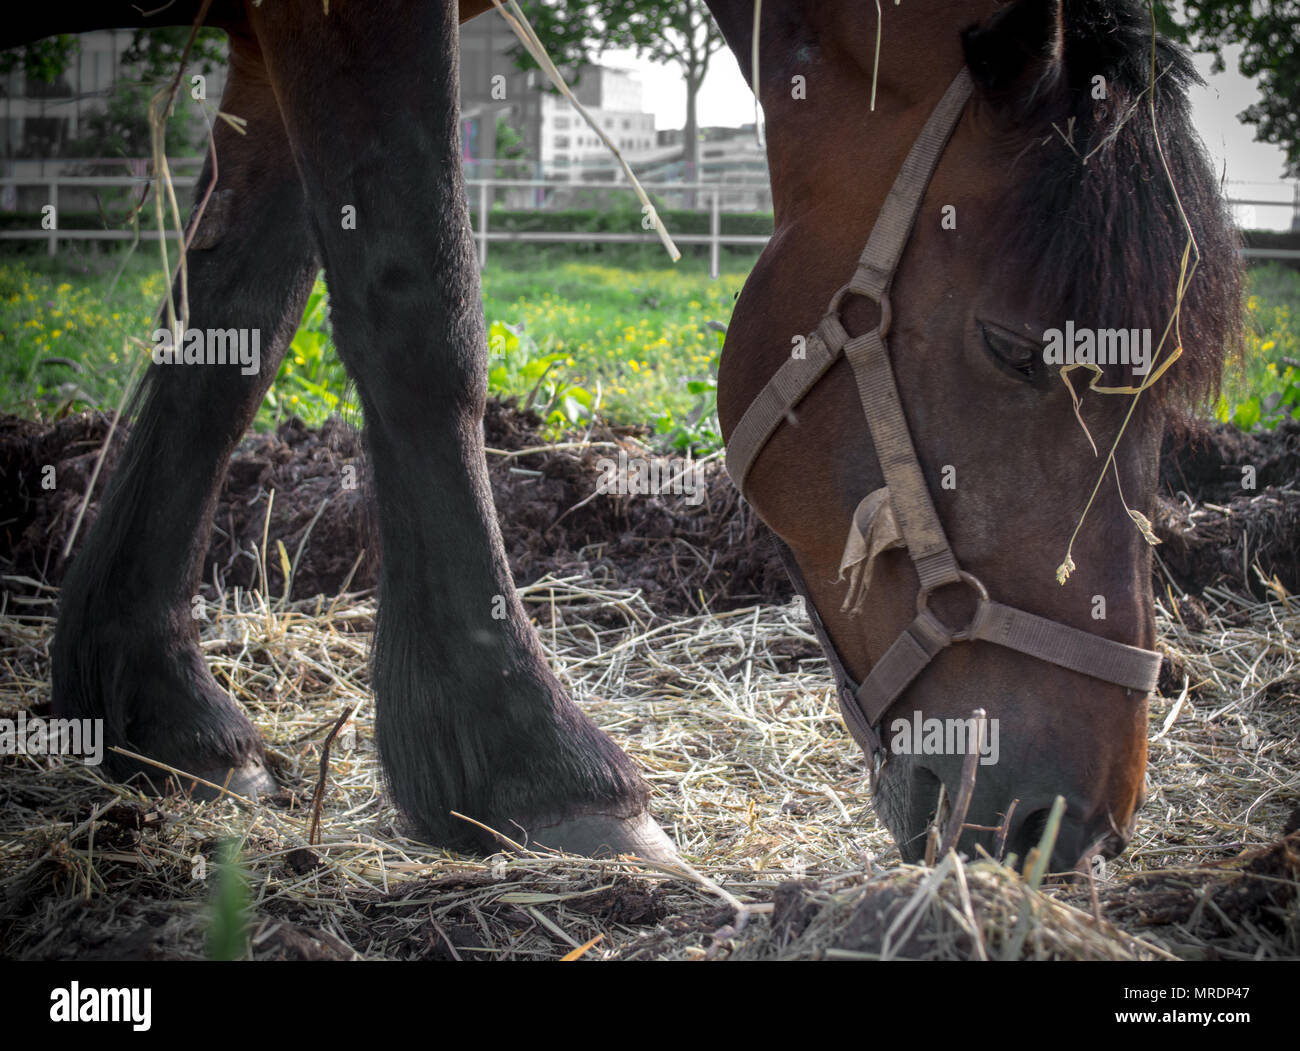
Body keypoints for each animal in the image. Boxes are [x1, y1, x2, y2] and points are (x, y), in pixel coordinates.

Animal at [14, 0, 1239, 871]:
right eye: (1013, 346)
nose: (1068, 822)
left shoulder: (268, 50)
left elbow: (229, 336)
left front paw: (158, 704)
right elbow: (418, 314)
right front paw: (528, 762)